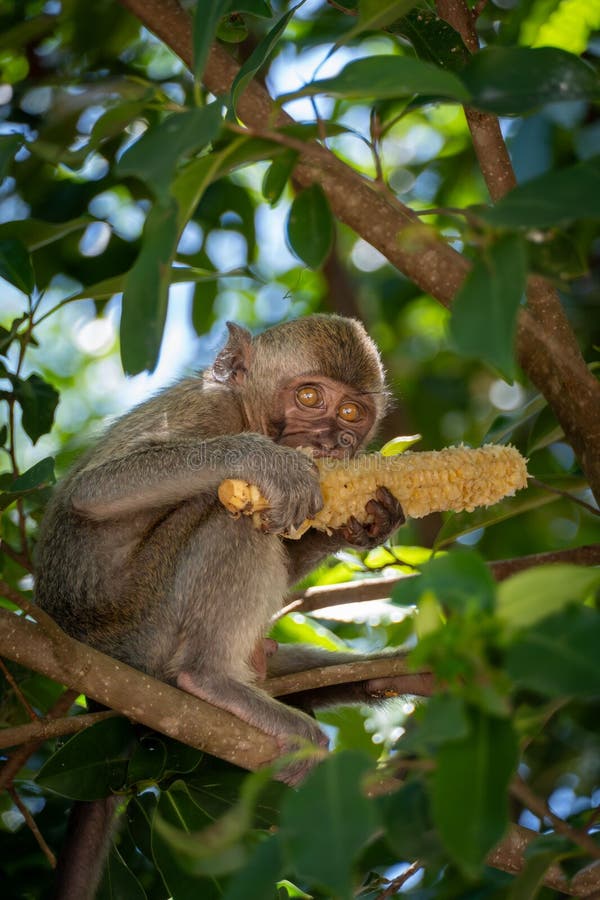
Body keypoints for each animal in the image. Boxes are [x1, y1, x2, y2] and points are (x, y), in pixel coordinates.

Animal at [35, 315, 406, 896]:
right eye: (309, 397)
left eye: (352, 413)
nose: (339, 439)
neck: (245, 408)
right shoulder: (209, 415)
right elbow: (96, 491)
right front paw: (263, 460)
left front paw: (368, 521)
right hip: (143, 628)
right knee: (221, 515)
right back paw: (210, 679)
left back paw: (376, 677)